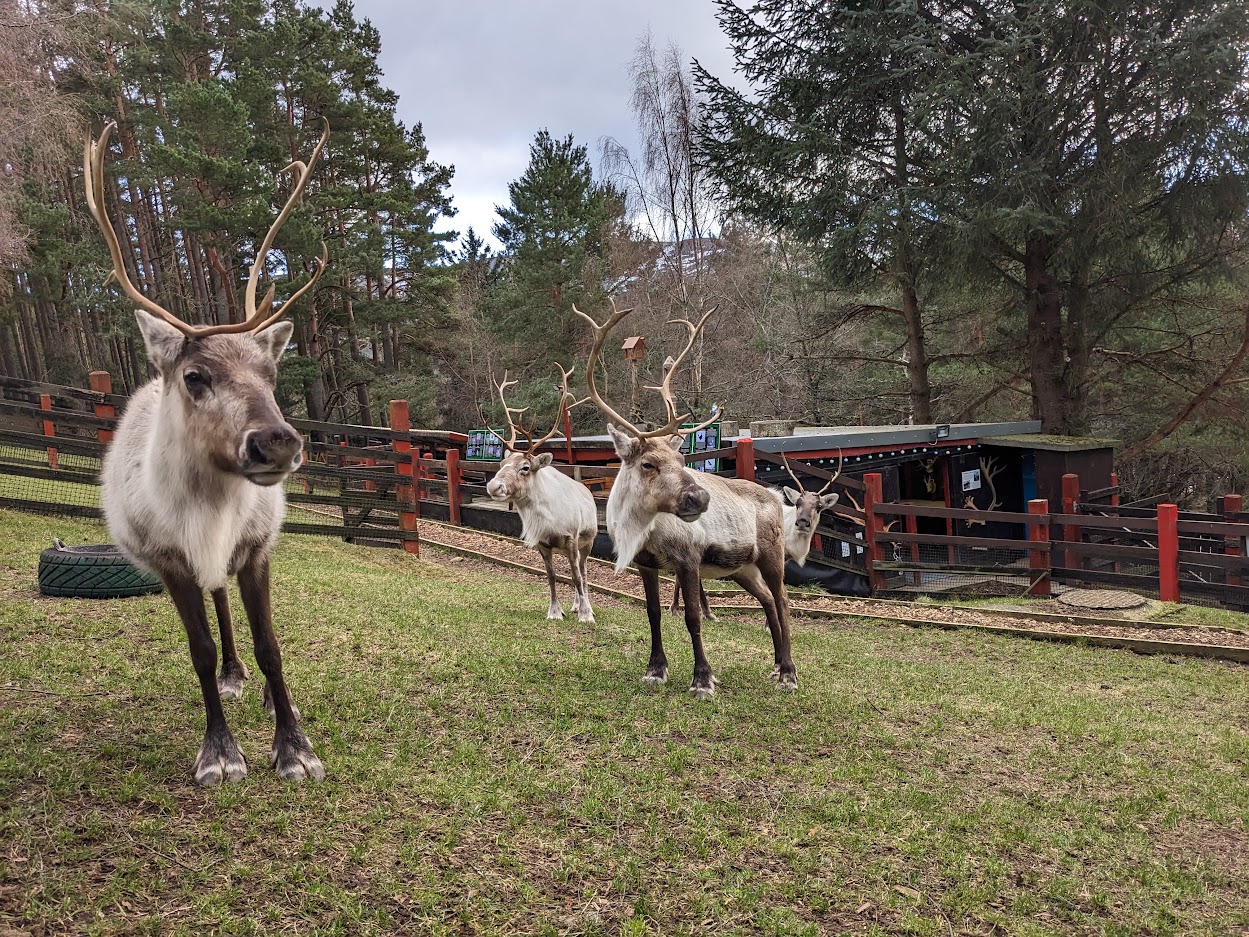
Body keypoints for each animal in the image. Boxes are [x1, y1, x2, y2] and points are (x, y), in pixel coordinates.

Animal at [85, 118, 329, 787]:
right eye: (195, 376)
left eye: (271, 374)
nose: (278, 439)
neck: (208, 509)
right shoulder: (168, 560)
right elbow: (199, 650)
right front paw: (220, 751)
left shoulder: (257, 546)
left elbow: (272, 644)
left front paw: (294, 747)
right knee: (217, 608)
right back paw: (231, 676)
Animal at [482, 365, 598, 623]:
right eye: (502, 462)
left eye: (525, 467)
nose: (494, 486)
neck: (548, 520)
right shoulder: (543, 544)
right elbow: (552, 577)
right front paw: (555, 611)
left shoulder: (572, 538)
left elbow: (577, 577)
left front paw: (586, 614)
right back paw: (575, 604)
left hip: (588, 540)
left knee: (583, 572)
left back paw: (584, 605)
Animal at [572, 299, 796, 697]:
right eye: (648, 463)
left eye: (680, 460)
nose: (701, 497)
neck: (641, 531)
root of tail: (773, 495)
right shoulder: (646, 564)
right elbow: (653, 613)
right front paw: (655, 670)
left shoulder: (688, 559)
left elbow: (693, 617)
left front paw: (703, 679)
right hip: (740, 568)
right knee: (769, 600)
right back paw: (775, 665)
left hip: (771, 555)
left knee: (783, 601)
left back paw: (788, 673)